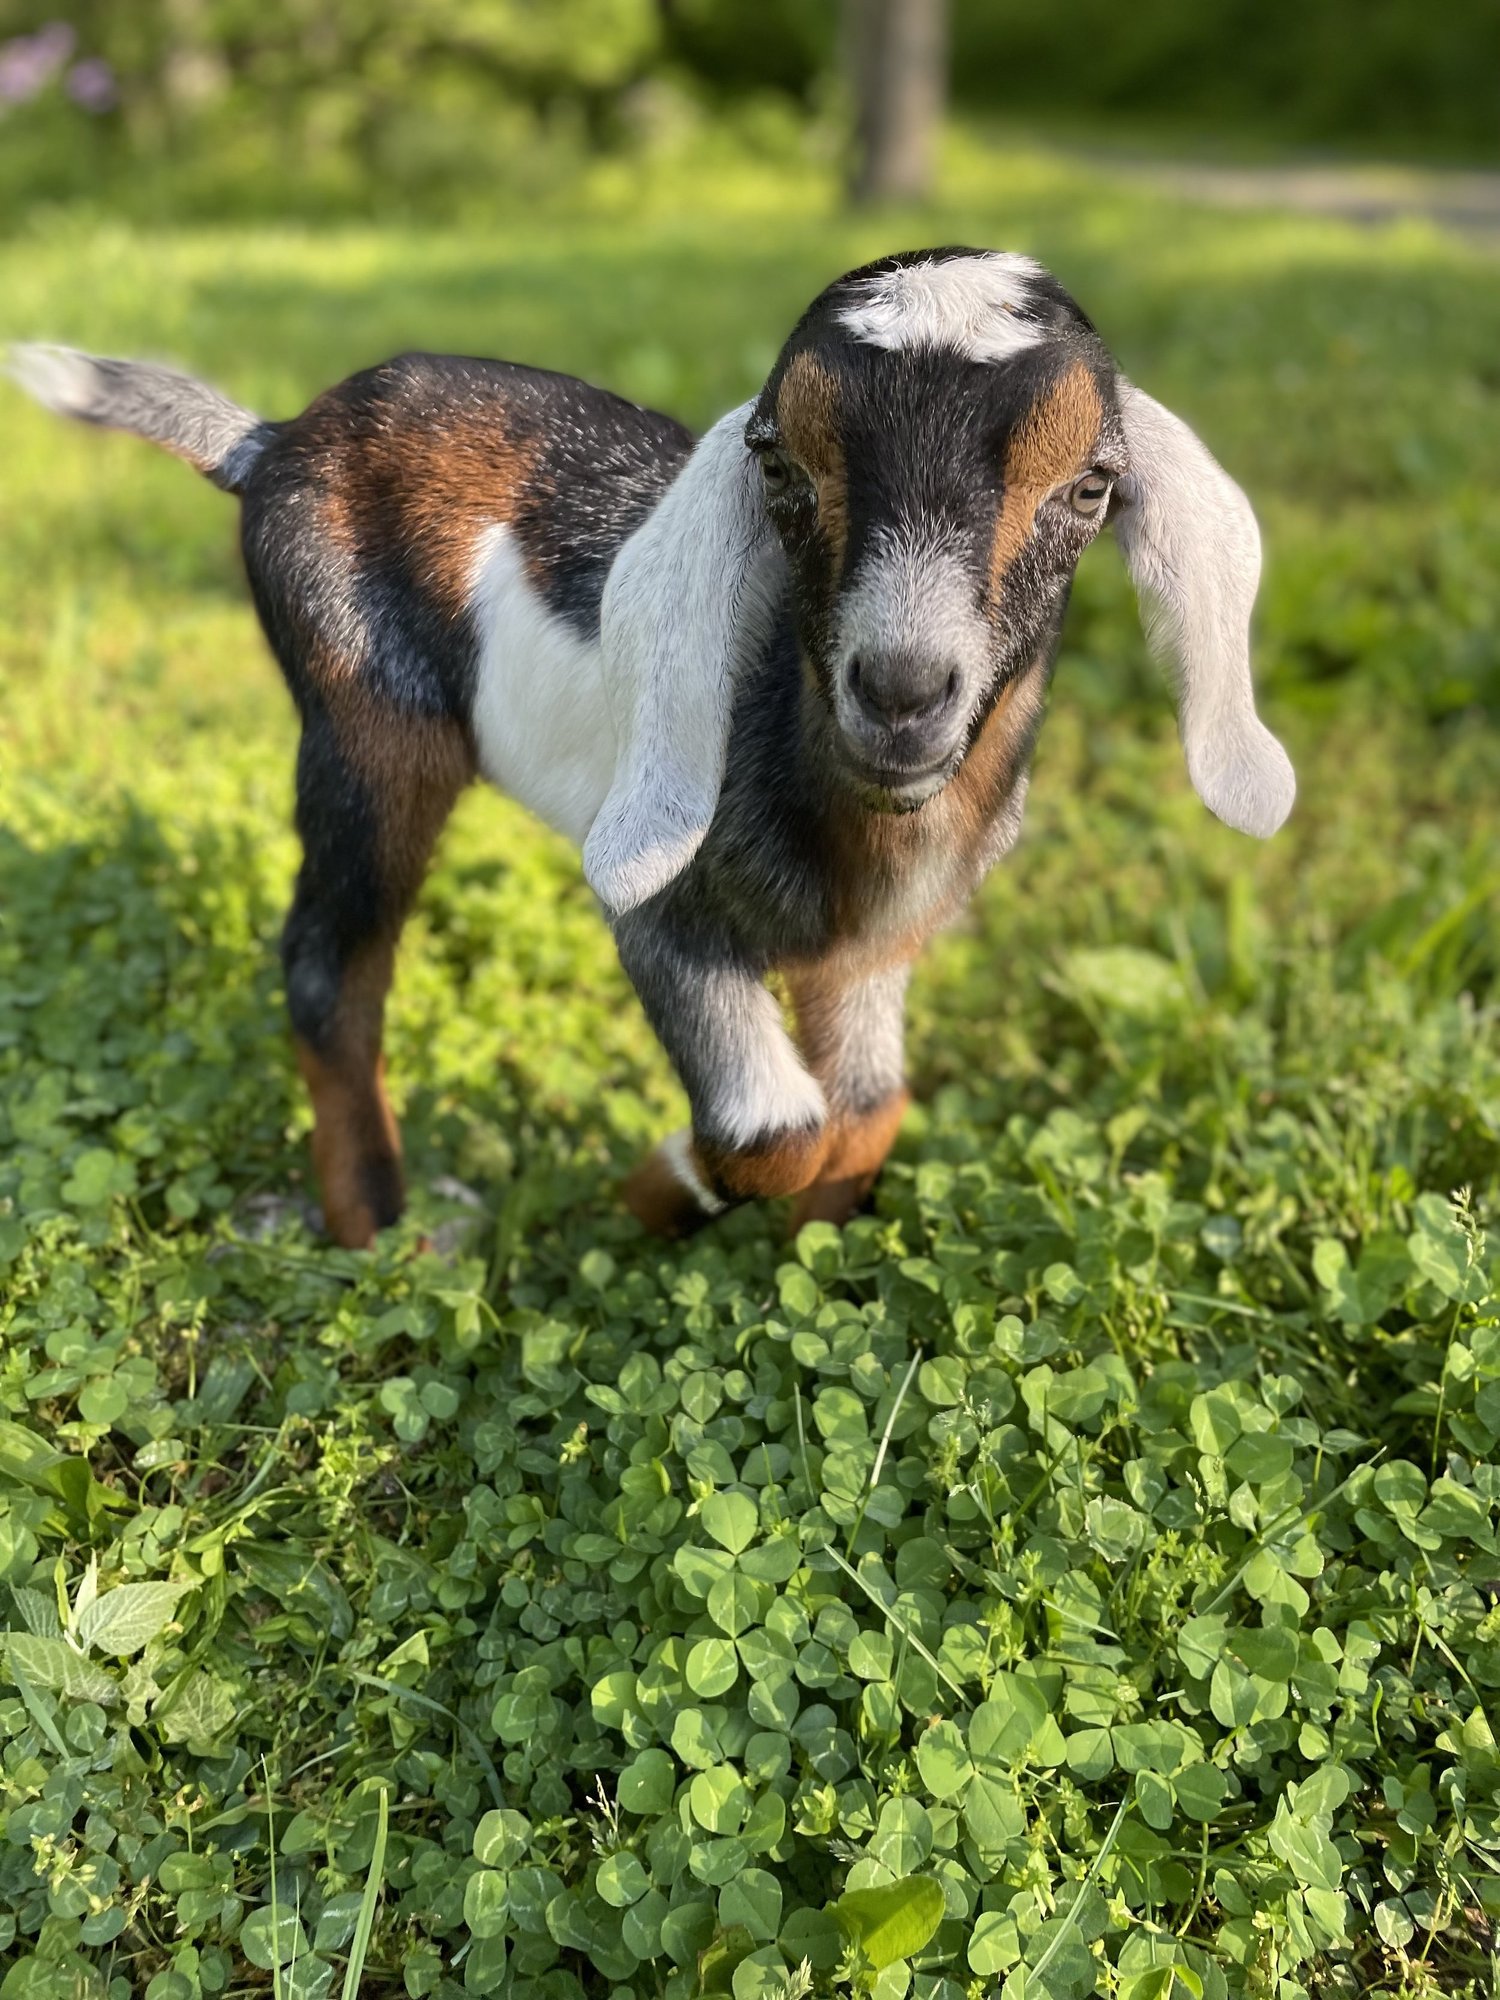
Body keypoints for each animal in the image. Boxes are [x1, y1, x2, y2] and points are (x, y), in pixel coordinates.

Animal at [8, 248, 1295, 1248]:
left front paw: (815, 1263)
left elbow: (869, 1109)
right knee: (331, 964)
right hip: (363, 717)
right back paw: (383, 1226)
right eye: (778, 468)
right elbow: (777, 1125)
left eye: (1091, 486)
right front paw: (652, 1189)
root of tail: (270, 443)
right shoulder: (663, 910)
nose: (901, 691)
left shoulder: (873, 951)